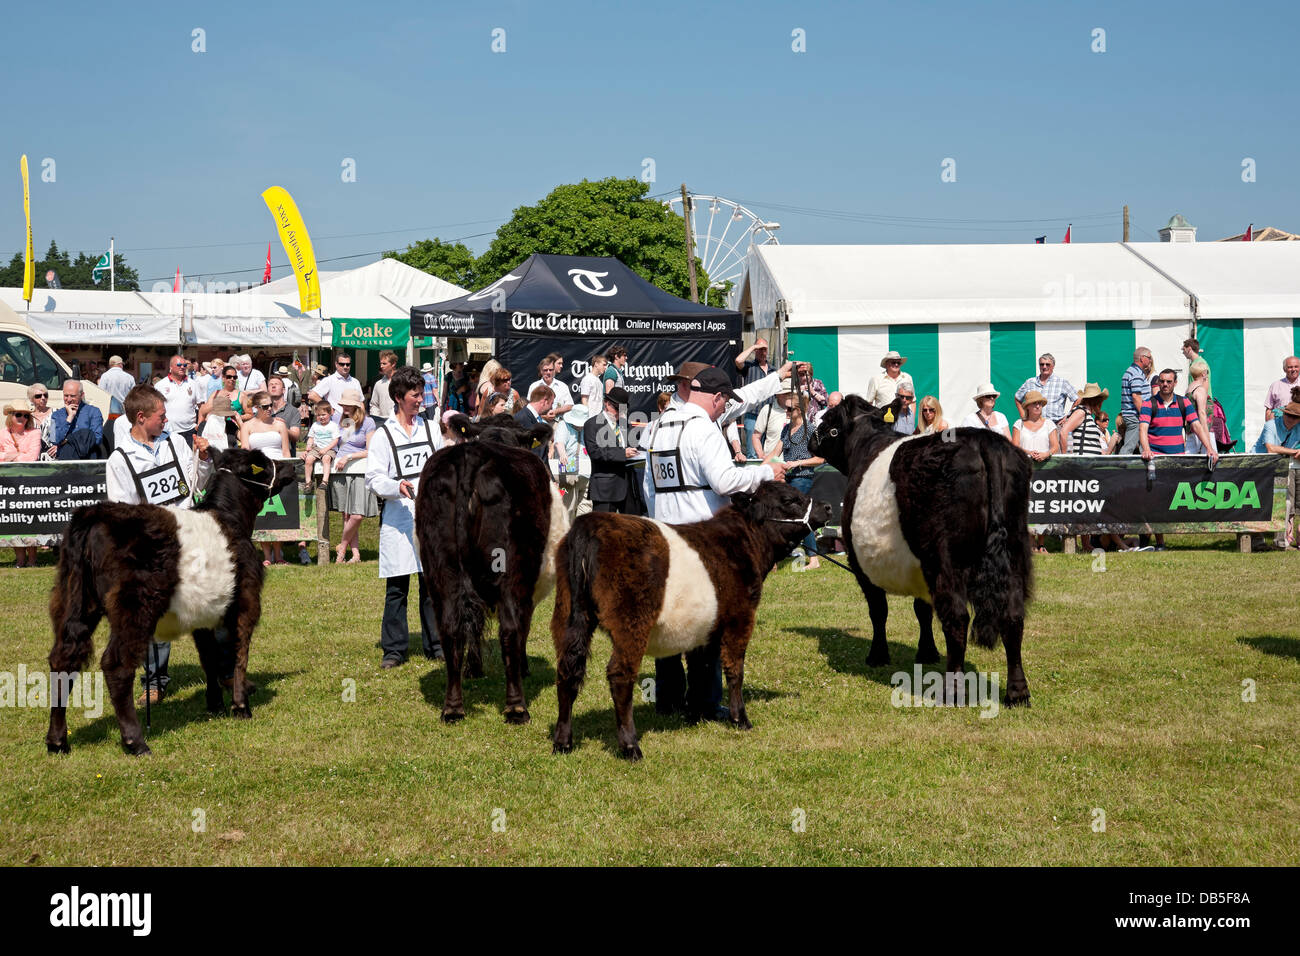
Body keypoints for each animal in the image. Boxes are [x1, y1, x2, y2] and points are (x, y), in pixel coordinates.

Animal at [45, 448, 296, 755]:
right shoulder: (245, 602)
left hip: (74, 601)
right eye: (261, 461)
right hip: (135, 607)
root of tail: (94, 514)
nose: (291, 466)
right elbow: (239, 654)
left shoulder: (204, 612)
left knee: (64, 658)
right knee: (115, 665)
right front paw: (240, 706)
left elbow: (209, 657)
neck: (230, 518)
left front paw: (215, 705)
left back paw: (57, 741)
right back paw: (135, 741)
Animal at [415, 414, 567, 724]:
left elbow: (474, 625)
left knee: (451, 626)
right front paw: (522, 668)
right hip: (510, 566)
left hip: (440, 567)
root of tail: (470, 456)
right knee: (509, 629)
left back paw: (453, 708)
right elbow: (522, 627)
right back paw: (516, 707)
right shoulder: (528, 587)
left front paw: (474, 669)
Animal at [551, 481, 832, 760]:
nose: (828, 506)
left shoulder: (705, 627)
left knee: (568, 671)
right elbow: (735, 669)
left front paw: (698, 714)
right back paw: (630, 746)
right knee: (620, 675)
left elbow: (703, 666)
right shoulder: (740, 616)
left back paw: (563, 742)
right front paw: (740, 719)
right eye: (789, 499)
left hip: (569, 617)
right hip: (631, 623)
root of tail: (589, 523)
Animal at [808, 395, 1032, 706]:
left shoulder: (861, 564)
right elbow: (922, 609)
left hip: (948, 559)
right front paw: (927, 652)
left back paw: (952, 691)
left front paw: (878, 655)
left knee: (957, 618)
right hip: (1016, 551)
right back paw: (1017, 692)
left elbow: (878, 610)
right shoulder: (918, 567)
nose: (810, 440)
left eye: (828, 420)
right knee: (1013, 616)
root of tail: (983, 440)